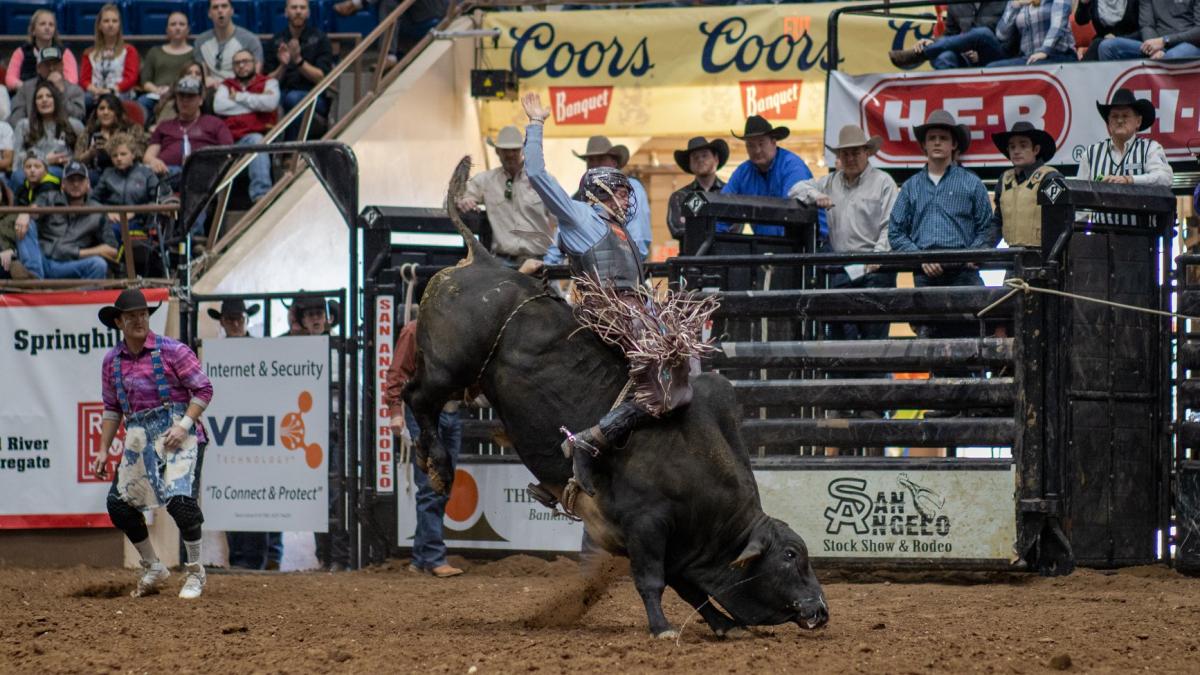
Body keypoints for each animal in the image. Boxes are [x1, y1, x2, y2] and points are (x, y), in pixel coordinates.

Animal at [401, 157, 828, 638]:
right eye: (791, 555)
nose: (821, 609)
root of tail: (482, 257)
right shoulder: (647, 525)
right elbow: (653, 581)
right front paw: (662, 628)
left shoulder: (683, 549)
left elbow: (692, 589)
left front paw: (723, 625)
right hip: (446, 368)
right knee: (416, 398)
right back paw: (439, 467)